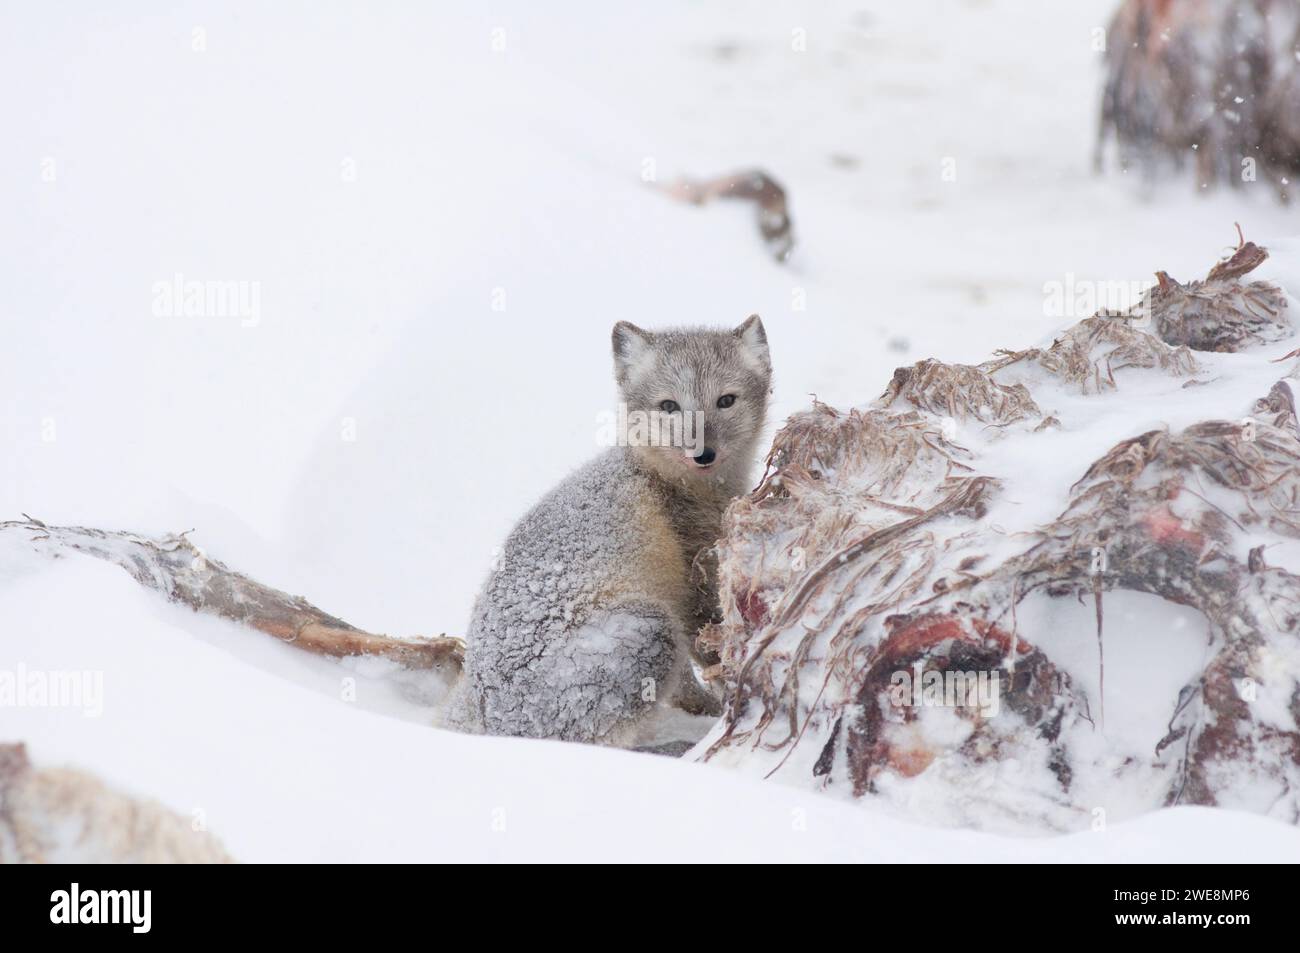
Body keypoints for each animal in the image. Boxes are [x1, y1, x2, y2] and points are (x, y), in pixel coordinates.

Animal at [443, 315, 772, 750]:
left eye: (726, 401)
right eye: (669, 407)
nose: (702, 454)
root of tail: (490, 715)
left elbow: (690, 682)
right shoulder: (694, 586)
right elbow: (715, 655)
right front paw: (723, 707)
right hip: (651, 628)